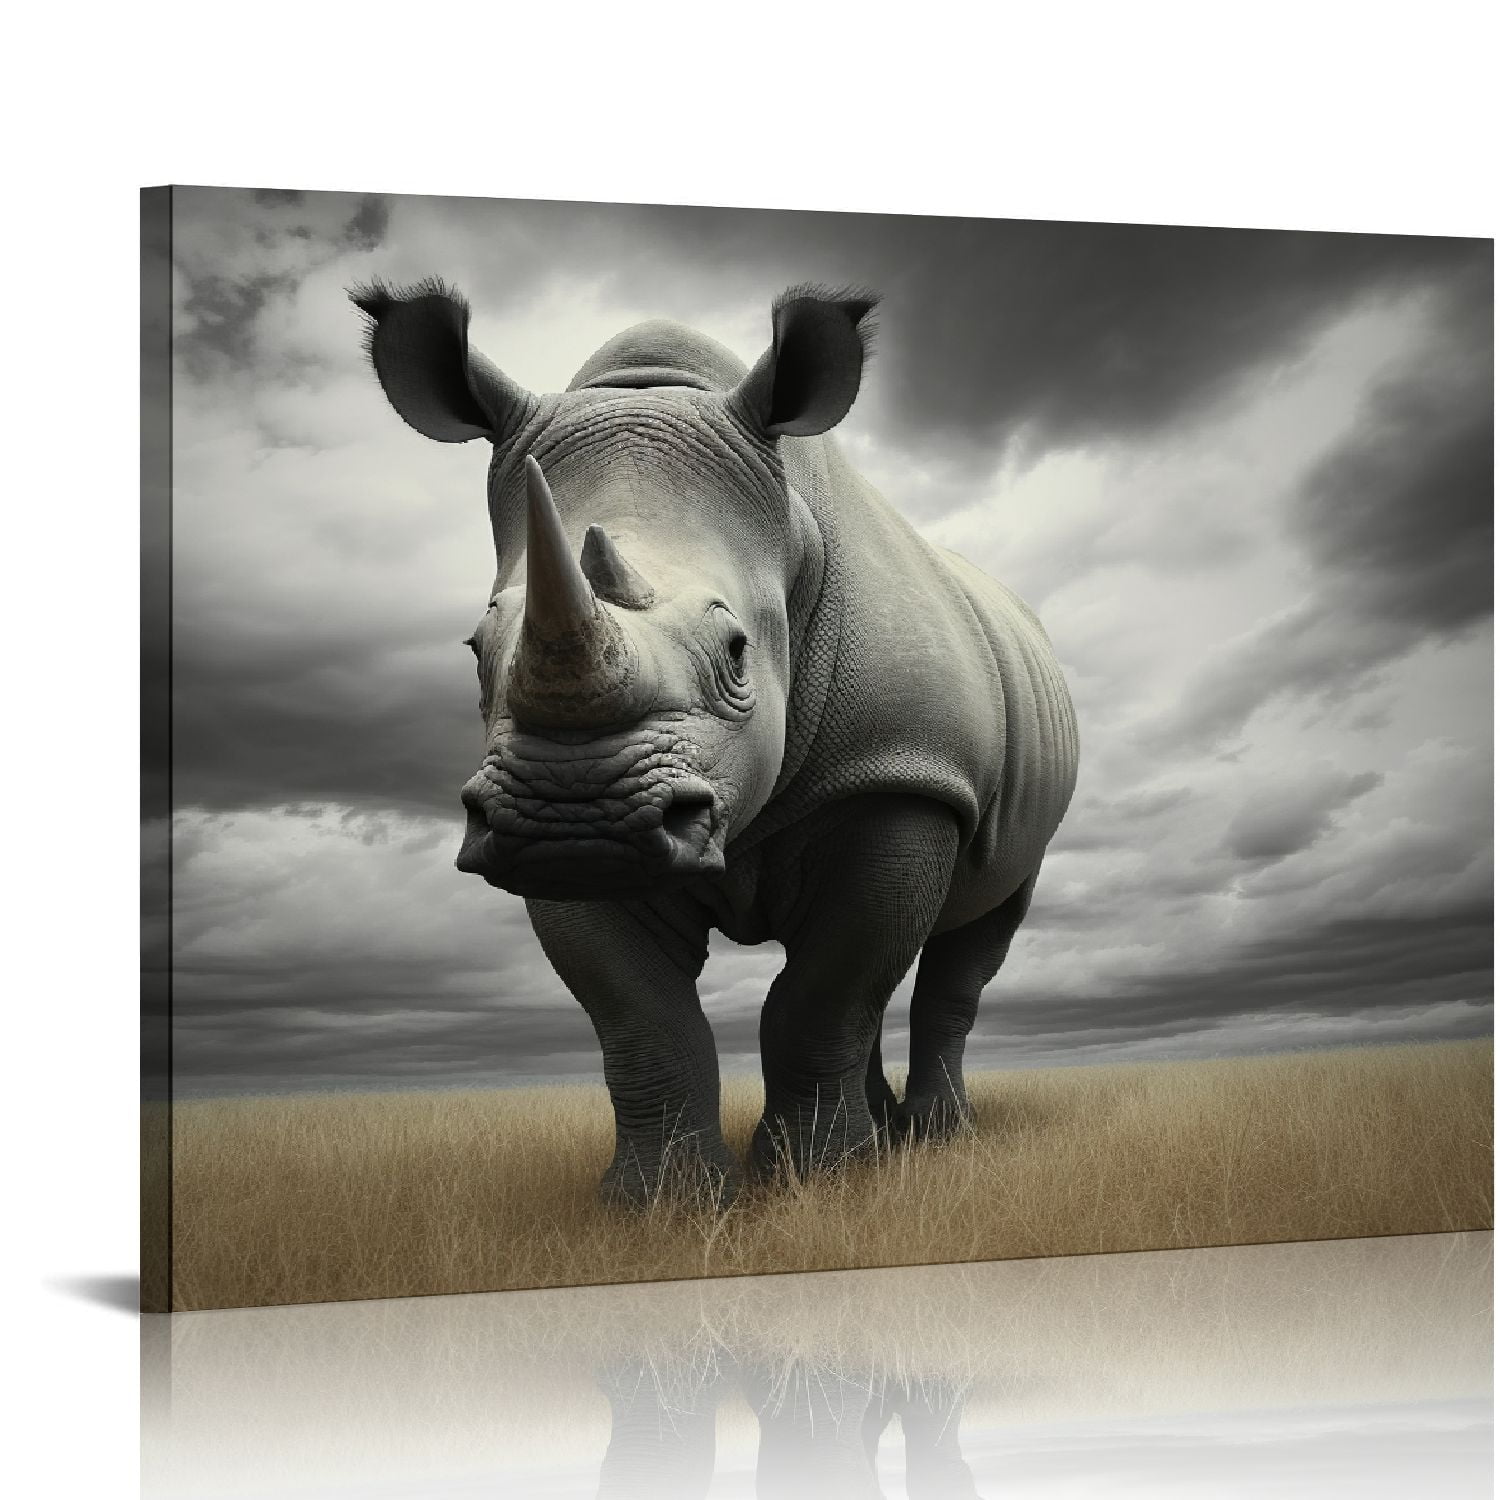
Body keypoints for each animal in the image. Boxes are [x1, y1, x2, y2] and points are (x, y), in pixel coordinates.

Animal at [352, 280, 1079, 1205]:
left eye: (736, 652)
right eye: (478, 653)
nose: (573, 815)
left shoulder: (899, 775)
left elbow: (824, 994)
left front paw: (819, 1180)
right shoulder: (552, 844)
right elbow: (641, 1015)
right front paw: (662, 1203)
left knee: (972, 936)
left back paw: (934, 1138)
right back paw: (885, 1134)